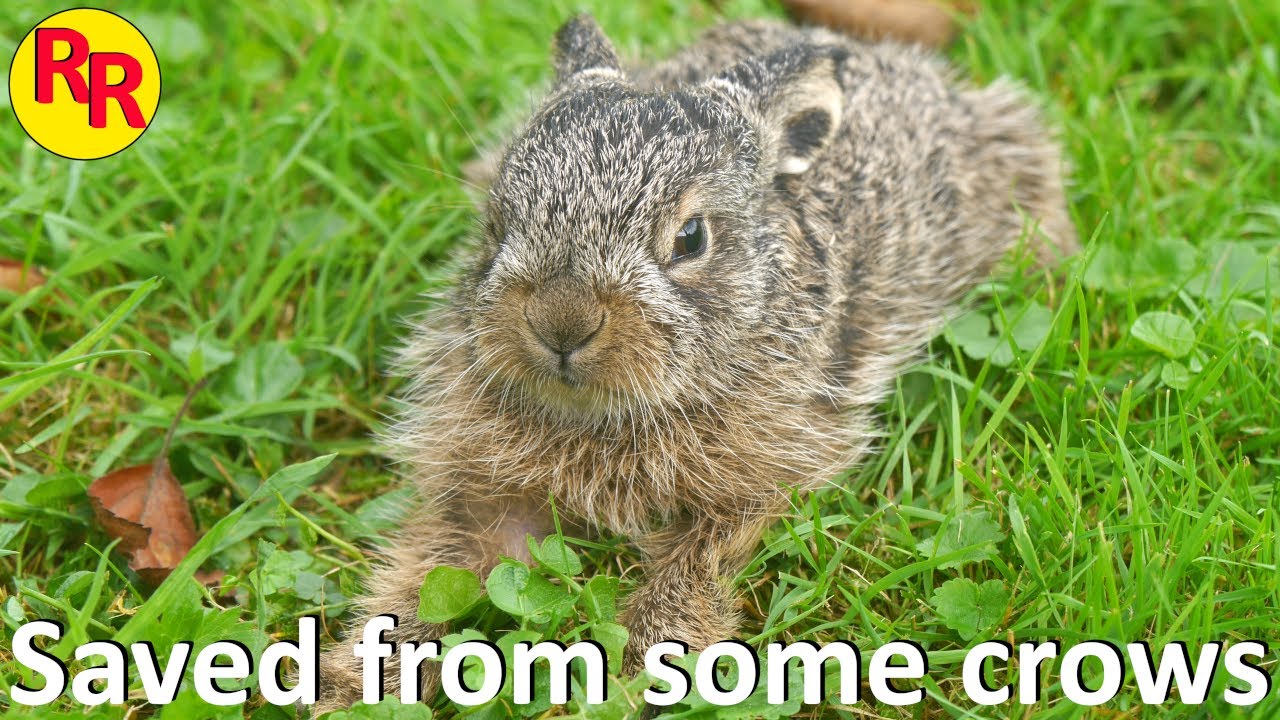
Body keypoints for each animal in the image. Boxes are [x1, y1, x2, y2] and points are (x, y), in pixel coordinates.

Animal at [314, 13, 1076, 713]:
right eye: (498, 222)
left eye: (691, 238)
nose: (562, 320)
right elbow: (430, 583)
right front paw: (354, 690)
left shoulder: (759, 479)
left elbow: (688, 573)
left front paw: (633, 680)